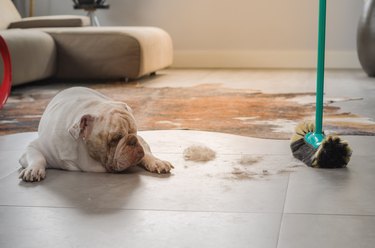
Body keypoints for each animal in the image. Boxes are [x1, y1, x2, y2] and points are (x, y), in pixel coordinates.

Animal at [18, 87, 174, 182]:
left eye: (134, 131)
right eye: (115, 139)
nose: (133, 140)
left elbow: (146, 152)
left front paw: (156, 161)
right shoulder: (35, 147)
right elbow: (37, 157)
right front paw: (33, 169)